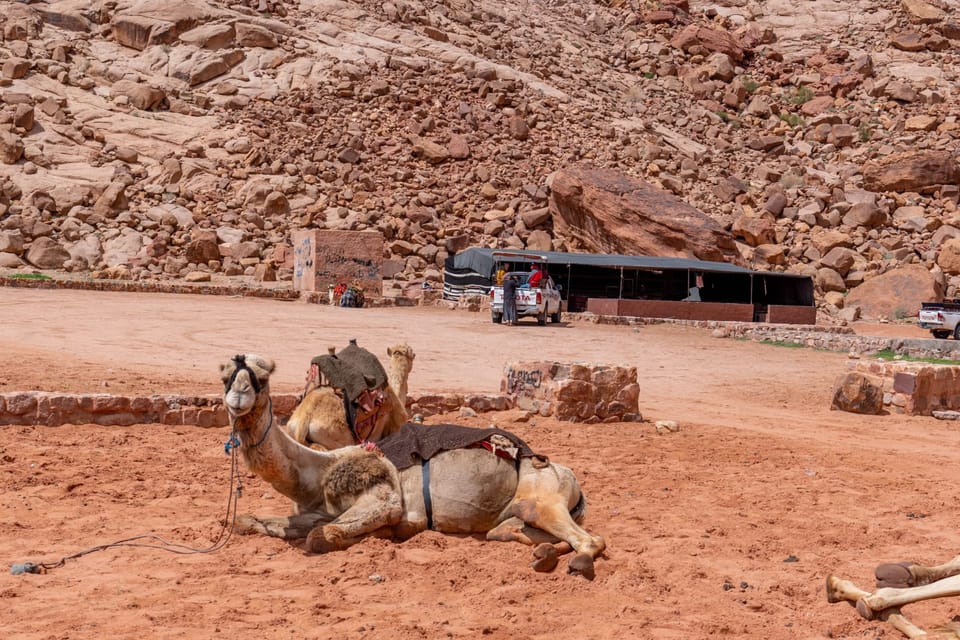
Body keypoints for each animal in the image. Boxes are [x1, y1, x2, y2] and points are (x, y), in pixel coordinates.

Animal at [220, 353, 606, 577]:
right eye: (225, 375)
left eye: (261, 378)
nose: (238, 397)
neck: (318, 472)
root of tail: (570, 476)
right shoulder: (316, 509)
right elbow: (245, 521)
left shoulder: (384, 499)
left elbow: (322, 536)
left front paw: (379, 534)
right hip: (517, 514)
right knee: (509, 531)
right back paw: (544, 554)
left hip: (544, 497)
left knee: (591, 539)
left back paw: (578, 562)